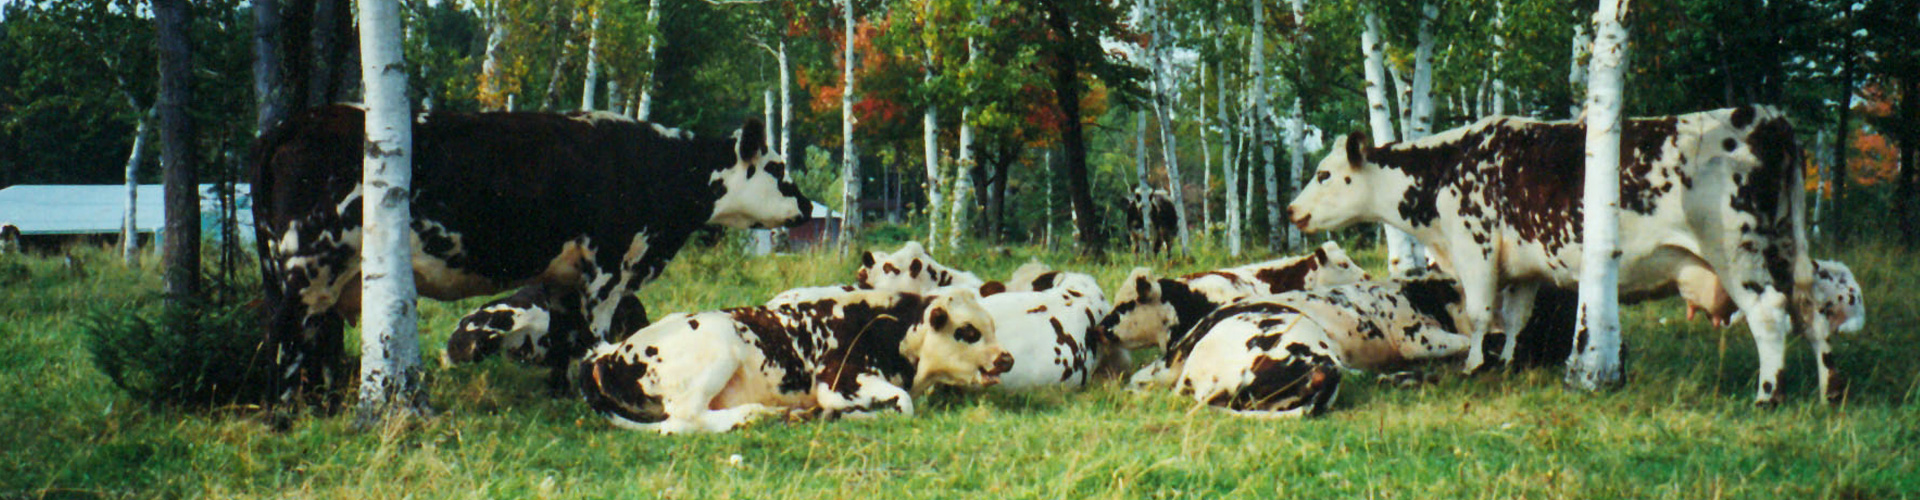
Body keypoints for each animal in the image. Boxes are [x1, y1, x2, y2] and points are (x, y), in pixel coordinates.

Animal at [575, 288, 1012, 433]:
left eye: (993, 326)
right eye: (968, 331)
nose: (1005, 358)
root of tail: (609, 352)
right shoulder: (839, 378)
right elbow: (902, 404)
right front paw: (842, 414)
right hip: (719, 348)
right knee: (684, 421)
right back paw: (757, 415)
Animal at [1287, 106, 1816, 404]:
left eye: (1325, 173)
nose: (1292, 210)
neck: (1447, 169)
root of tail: (1767, 116)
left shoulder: (1475, 246)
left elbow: (1481, 314)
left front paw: (1474, 366)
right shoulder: (1524, 268)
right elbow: (1515, 319)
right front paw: (1506, 363)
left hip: (1738, 253)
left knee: (1769, 315)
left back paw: (1767, 394)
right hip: (1784, 253)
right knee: (1806, 313)